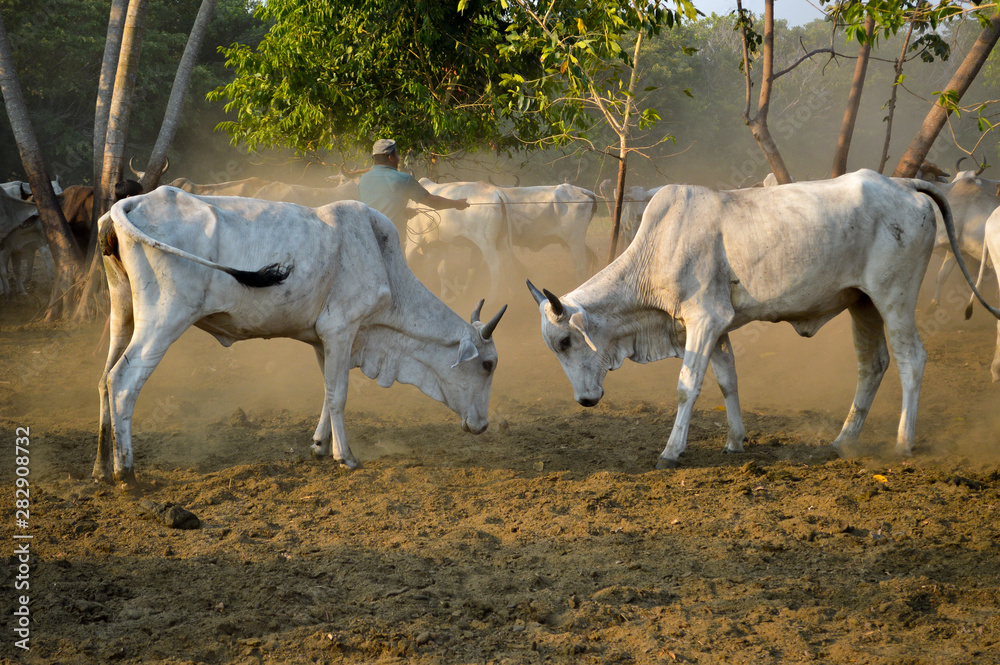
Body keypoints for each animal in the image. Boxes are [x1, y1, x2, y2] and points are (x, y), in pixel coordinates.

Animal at [95, 187, 506, 488]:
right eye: (487, 365)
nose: (483, 425)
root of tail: (131, 203)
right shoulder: (342, 329)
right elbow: (339, 395)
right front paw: (346, 457)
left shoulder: (323, 339)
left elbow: (328, 390)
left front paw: (320, 446)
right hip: (165, 319)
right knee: (123, 383)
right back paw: (125, 474)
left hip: (123, 312)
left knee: (104, 379)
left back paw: (100, 468)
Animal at [527, 170, 999, 469]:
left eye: (565, 342)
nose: (585, 400)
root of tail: (904, 184)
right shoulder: (716, 327)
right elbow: (727, 380)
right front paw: (735, 441)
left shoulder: (704, 319)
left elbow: (687, 387)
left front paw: (671, 452)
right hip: (862, 303)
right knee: (873, 364)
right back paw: (844, 440)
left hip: (894, 297)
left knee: (910, 359)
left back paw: (903, 443)